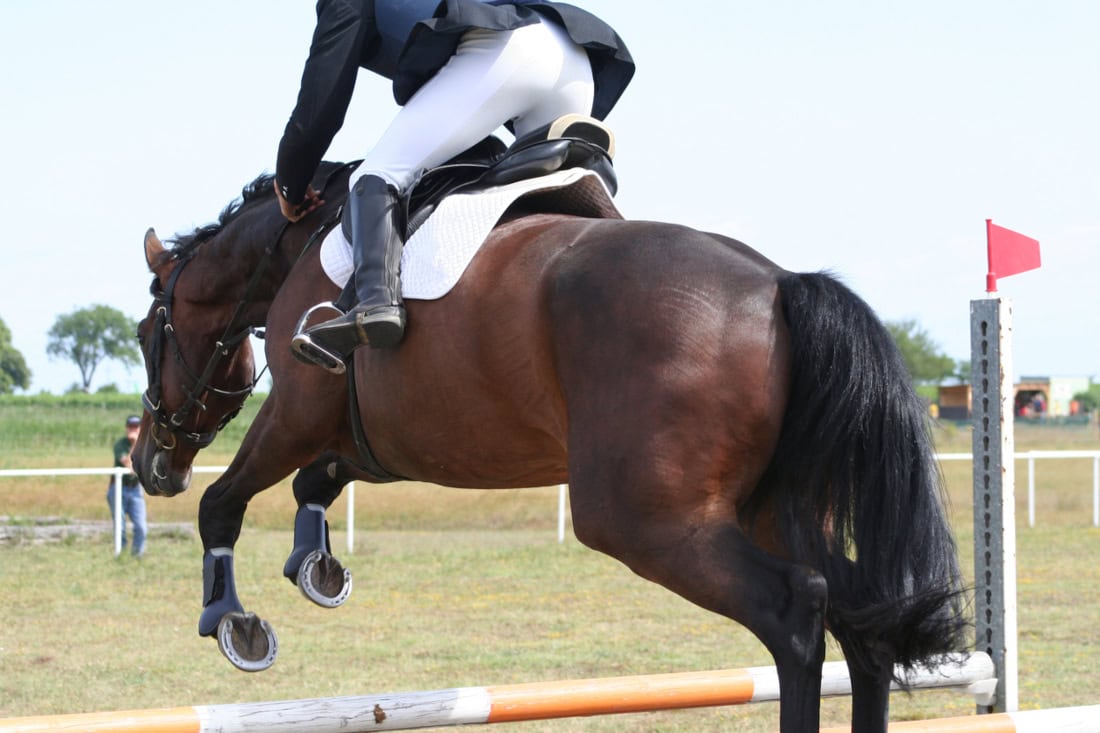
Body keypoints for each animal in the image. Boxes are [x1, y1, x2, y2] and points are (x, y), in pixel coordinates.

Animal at [132, 161, 966, 733]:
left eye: (146, 333)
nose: (151, 463)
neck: (301, 247)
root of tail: (780, 285)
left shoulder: (295, 413)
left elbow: (223, 504)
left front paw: (234, 622)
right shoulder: (381, 442)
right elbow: (316, 482)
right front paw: (318, 564)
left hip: (646, 521)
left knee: (797, 612)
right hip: (766, 511)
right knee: (862, 616)